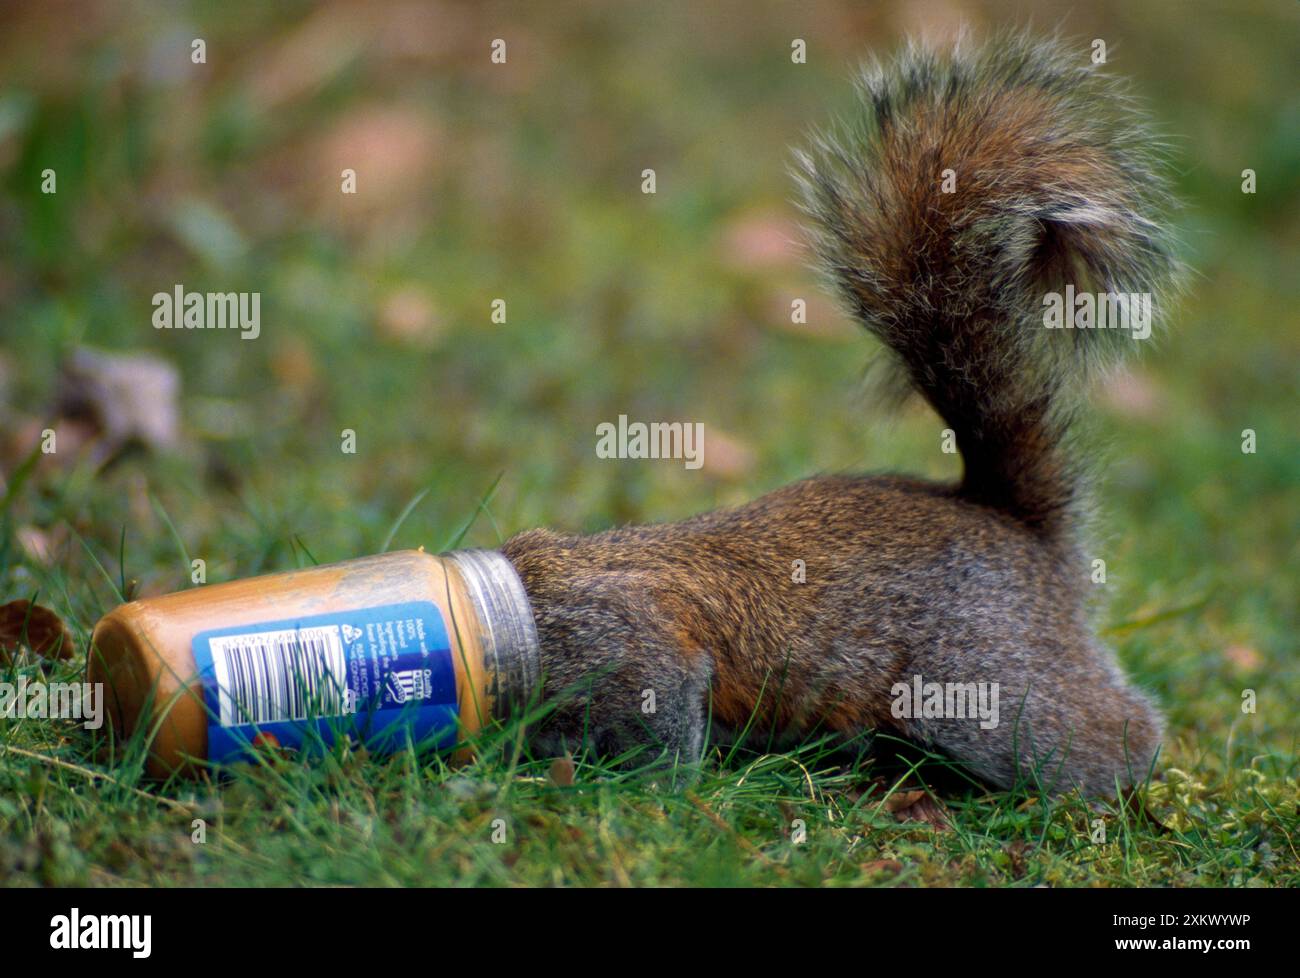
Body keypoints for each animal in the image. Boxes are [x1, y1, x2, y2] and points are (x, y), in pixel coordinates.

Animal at [500, 32, 1182, 797]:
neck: (522, 604)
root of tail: (1023, 533)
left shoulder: (622, 646)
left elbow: (667, 723)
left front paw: (639, 788)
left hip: (988, 688)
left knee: (1100, 732)